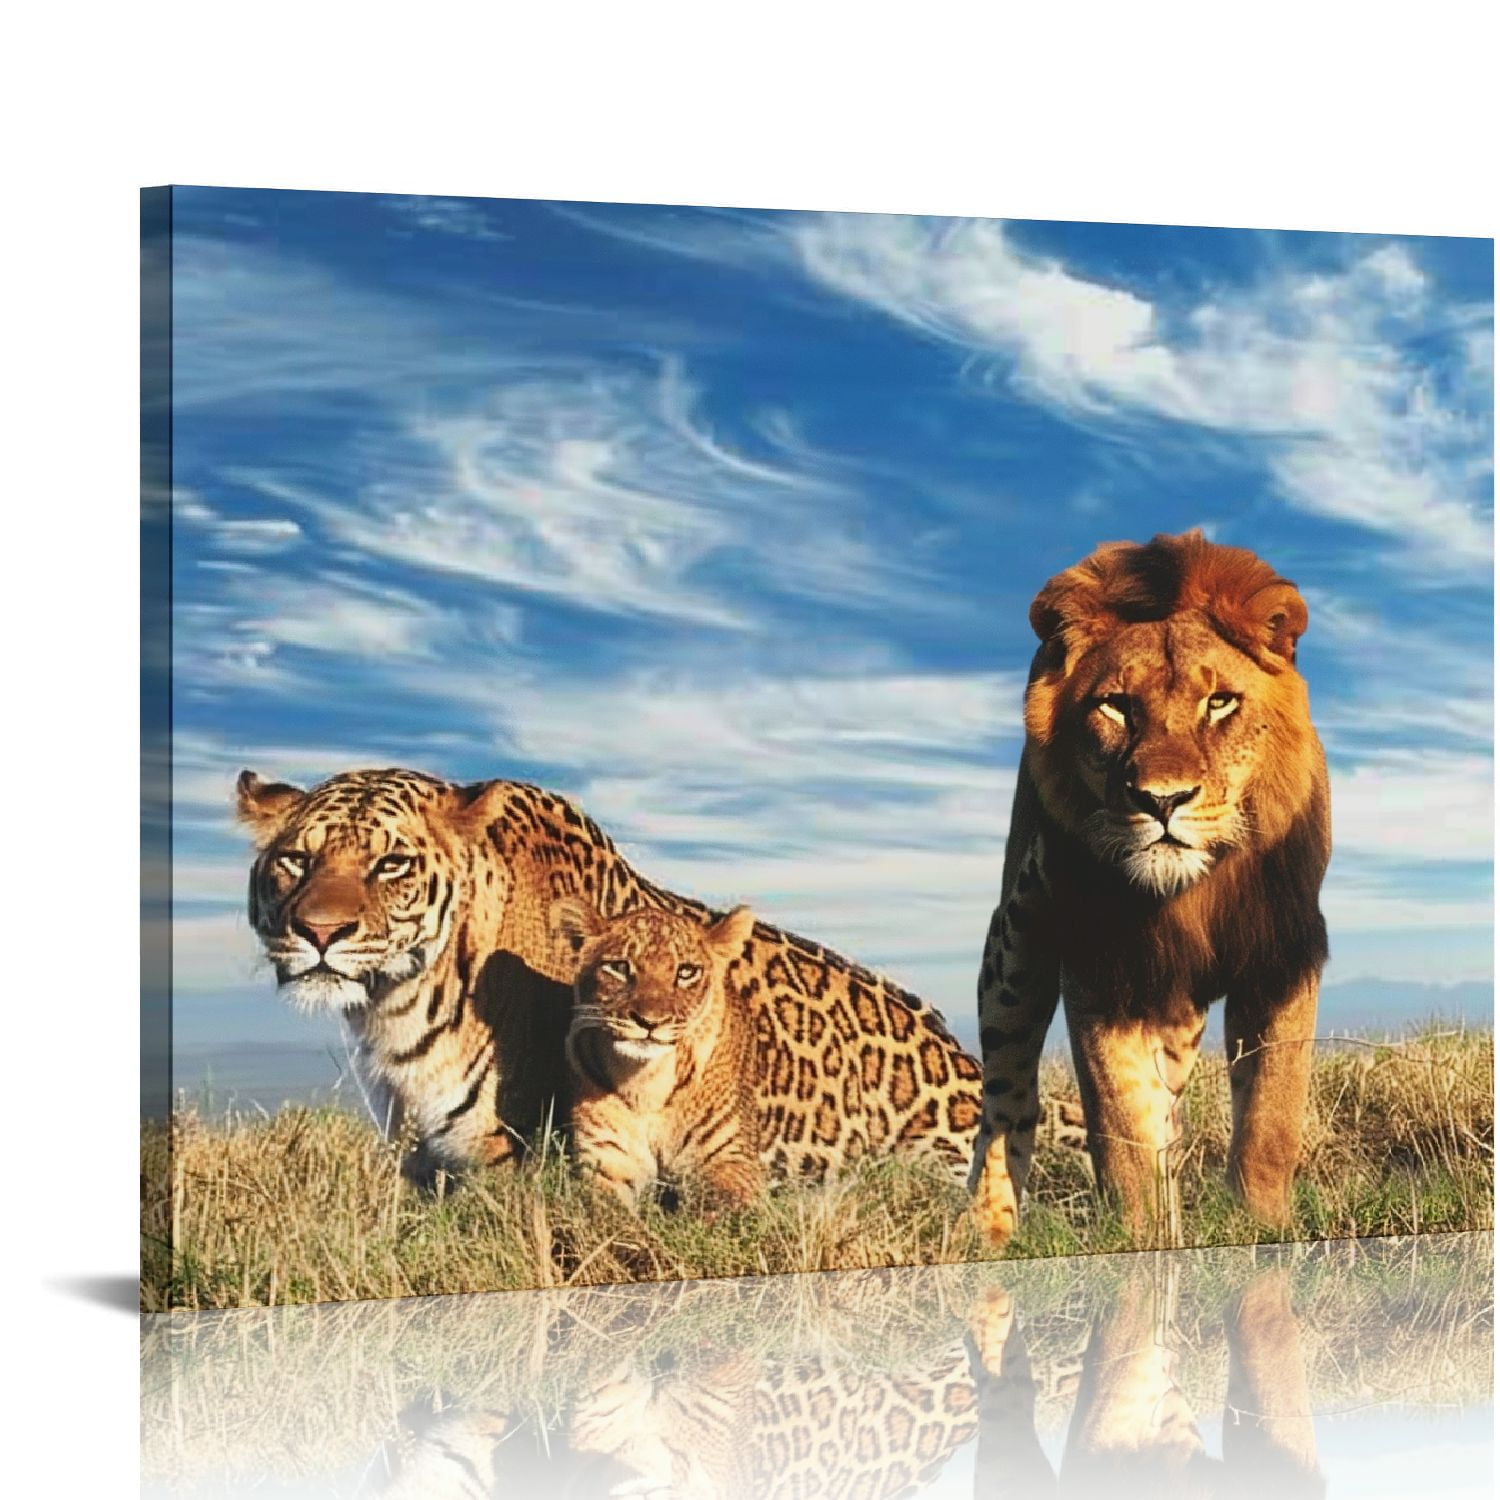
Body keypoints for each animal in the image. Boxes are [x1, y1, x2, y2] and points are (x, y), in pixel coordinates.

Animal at [552, 897, 763, 1207]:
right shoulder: (606, 1158)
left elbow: (723, 1207)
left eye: (686, 972)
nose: (650, 1021)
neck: (647, 1083)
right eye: (619, 967)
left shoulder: (732, 1158)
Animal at [970, 529, 1330, 1246]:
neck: (1191, 896)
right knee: (1005, 1099)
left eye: (1219, 703)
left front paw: (1264, 1232)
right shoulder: (1100, 970)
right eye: (1116, 705)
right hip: (1013, 946)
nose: (1162, 800)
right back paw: (986, 1229)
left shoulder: (1283, 956)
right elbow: (1122, 1135)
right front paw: (1143, 1245)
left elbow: (1270, 1120)